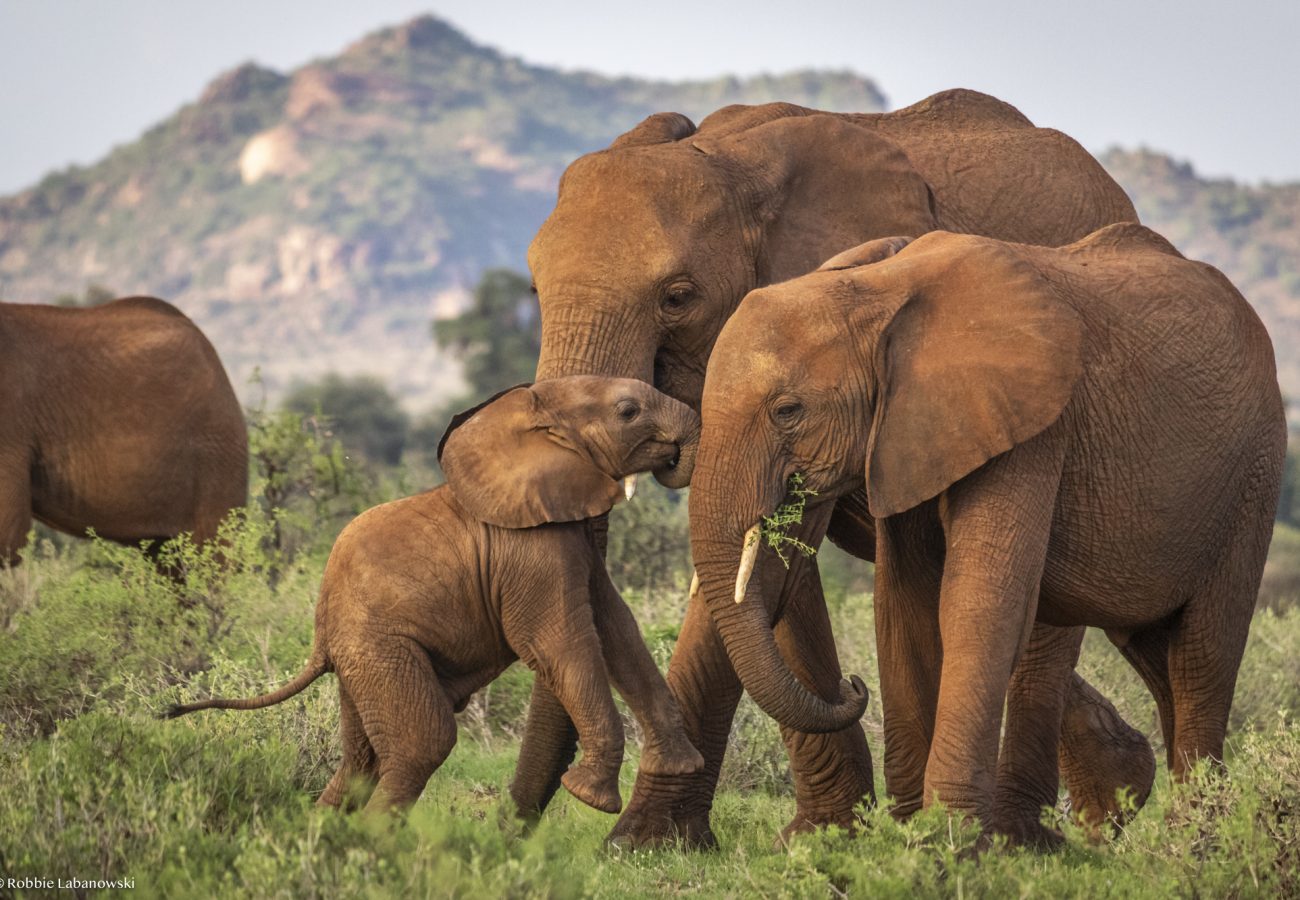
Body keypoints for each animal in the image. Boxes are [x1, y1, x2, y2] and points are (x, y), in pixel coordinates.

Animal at [164, 376, 710, 817]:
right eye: (628, 411)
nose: (676, 456)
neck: (531, 415)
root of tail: (320, 636)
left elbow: (617, 626)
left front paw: (680, 765)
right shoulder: (529, 549)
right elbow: (560, 641)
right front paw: (590, 796)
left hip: (360, 664)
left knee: (362, 759)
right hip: (381, 648)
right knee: (423, 743)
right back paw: (372, 846)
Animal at [527, 88, 1155, 846]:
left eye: (677, 297)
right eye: (533, 291)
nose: (554, 805)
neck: (733, 160)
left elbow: (762, 564)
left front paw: (639, 843)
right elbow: (768, 569)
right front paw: (818, 836)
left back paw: (1056, 828)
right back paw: (1119, 793)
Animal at [684, 224, 1285, 843]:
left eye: (788, 410)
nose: (853, 685)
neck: (877, 290)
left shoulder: (1033, 426)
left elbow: (975, 601)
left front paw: (948, 840)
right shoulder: (906, 436)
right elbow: (904, 607)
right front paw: (908, 833)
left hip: (1254, 477)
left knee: (1202, 655)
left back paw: (1198, 841)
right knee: (1159, 659)